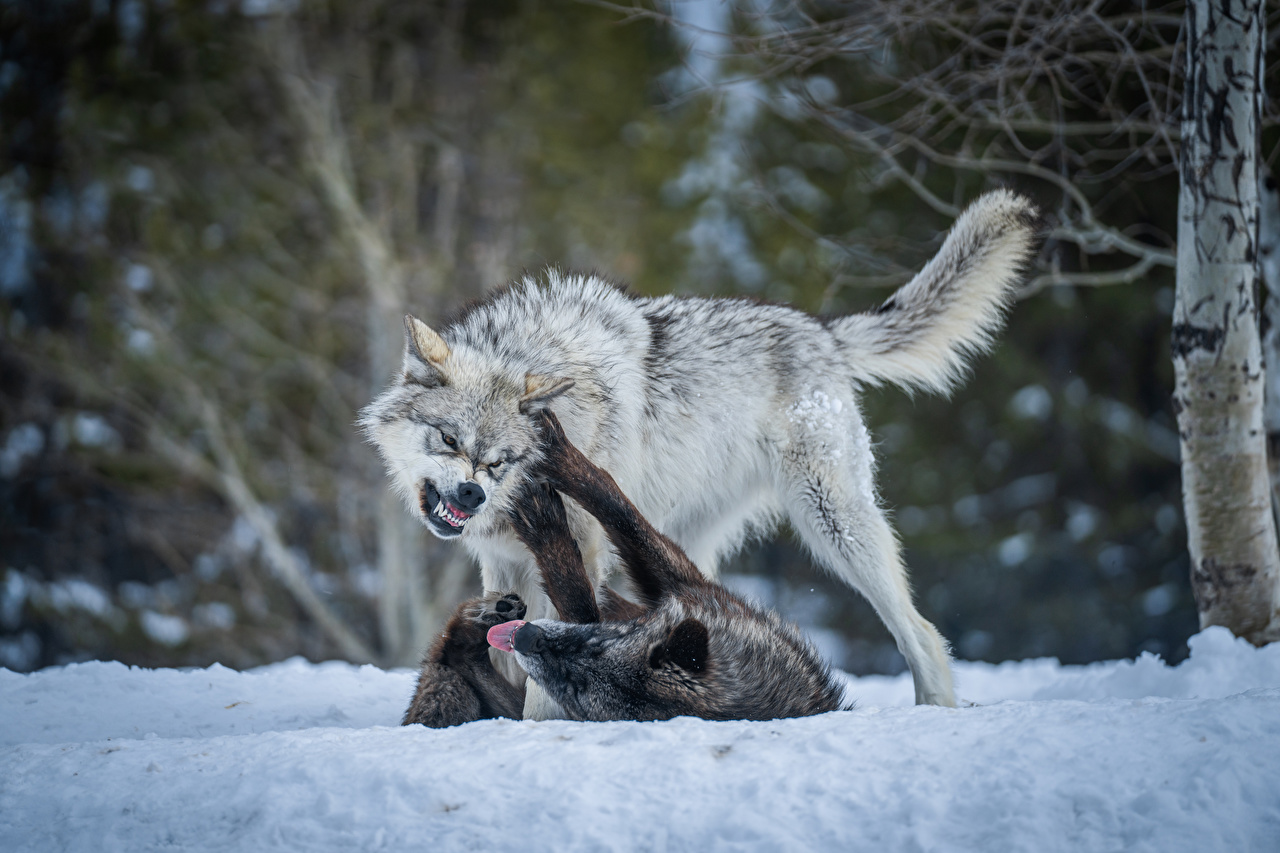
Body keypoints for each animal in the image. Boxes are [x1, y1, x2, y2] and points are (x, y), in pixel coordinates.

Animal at [361, 190, 1040, 713]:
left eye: (499, 461)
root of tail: (821, 330)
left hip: (835, 527)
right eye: (451, 440)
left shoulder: (577, 555)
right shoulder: (499, 565)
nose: (472, 492)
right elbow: (503, 638)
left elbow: (542, 662)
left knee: (921, 631)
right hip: (692, 540)